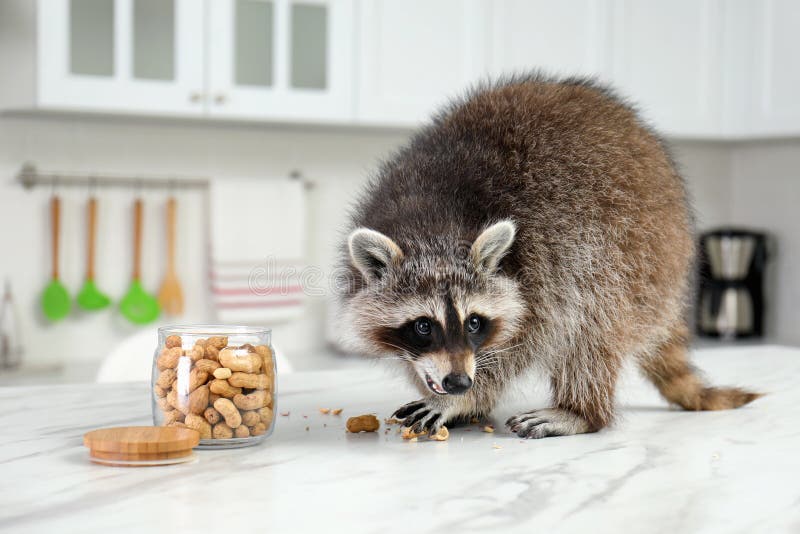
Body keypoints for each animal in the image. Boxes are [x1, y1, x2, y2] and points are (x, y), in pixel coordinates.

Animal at [338, 74, 760, 439]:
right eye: (423, 326)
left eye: (474, 323)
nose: (458, 382)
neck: (432, 225)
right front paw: (448, 391)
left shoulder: (541, 266)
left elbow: (522, 343)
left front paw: (468, 398)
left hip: (638, 253)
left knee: (592, 321)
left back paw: (581, 411)